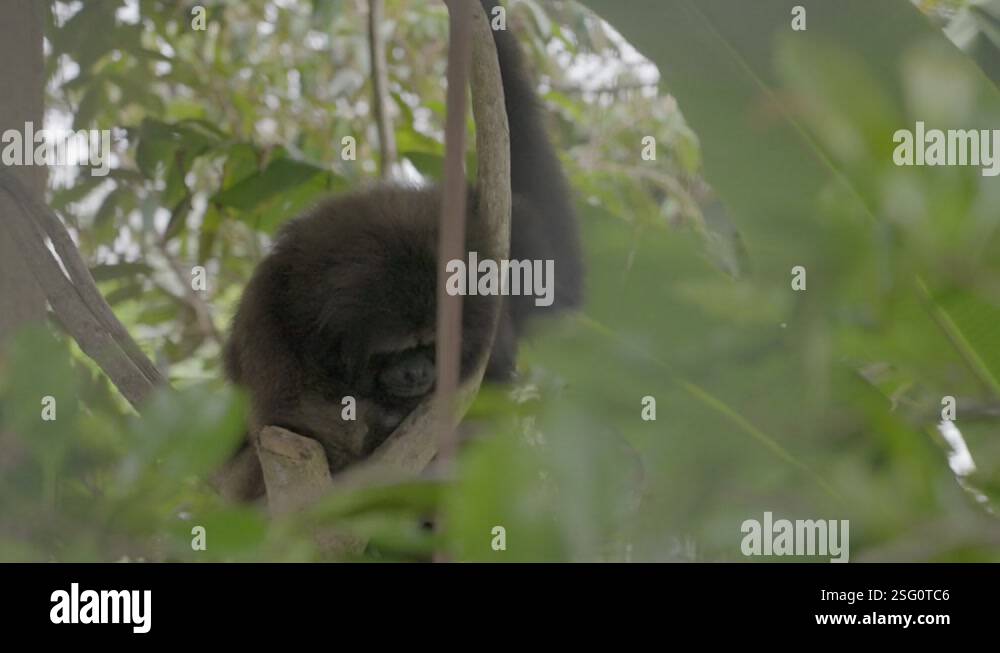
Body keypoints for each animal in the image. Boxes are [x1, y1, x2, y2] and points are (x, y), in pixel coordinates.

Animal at [221, 0, 582, 499]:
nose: (416, 373)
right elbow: (304, 421)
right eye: (393, 352)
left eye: (432, 345)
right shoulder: (268, 310)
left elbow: (560, 282)